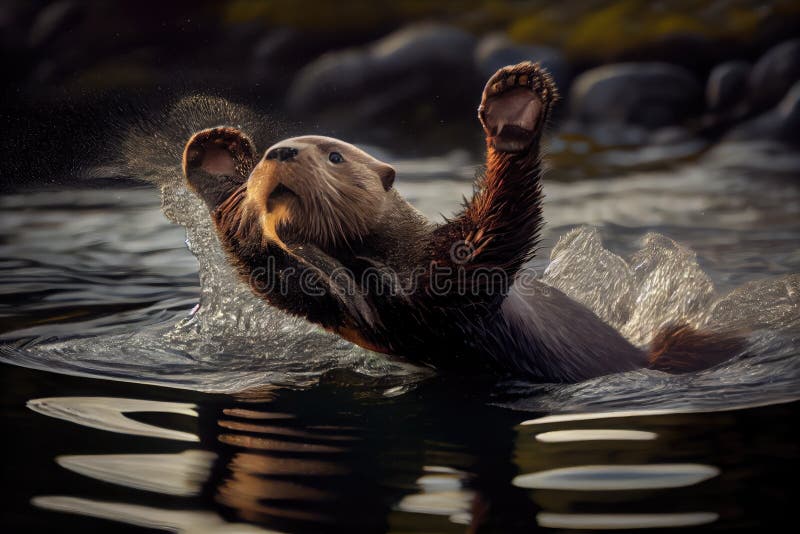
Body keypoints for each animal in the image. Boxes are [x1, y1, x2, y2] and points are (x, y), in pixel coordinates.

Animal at [182, 62, 740, 382]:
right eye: (261, 159)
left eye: (335, 156)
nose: (278, 151)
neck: (386, 269)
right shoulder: (330, 298)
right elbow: (267, 271)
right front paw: (216, 160)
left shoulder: (458, 277)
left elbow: (501, 223)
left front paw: (514, 108)